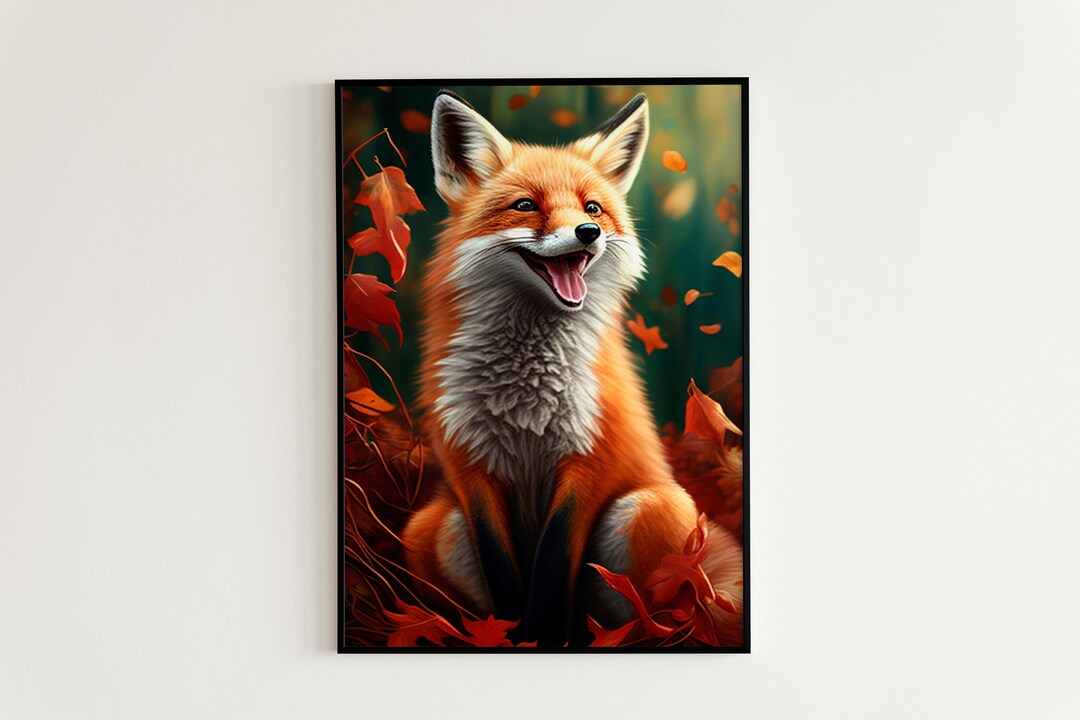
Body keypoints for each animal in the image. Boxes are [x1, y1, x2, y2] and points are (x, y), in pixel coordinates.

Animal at [403, 90, 741, 646]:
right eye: (525, 205)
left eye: (592, 207)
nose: (588, 232)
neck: (523, 397)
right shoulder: (471, 465)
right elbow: (505, 574)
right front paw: (512, 636)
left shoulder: (588, 459)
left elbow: (552, 567)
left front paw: (542, 637)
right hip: (430, 527)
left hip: (649, 509)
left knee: (658, 617)